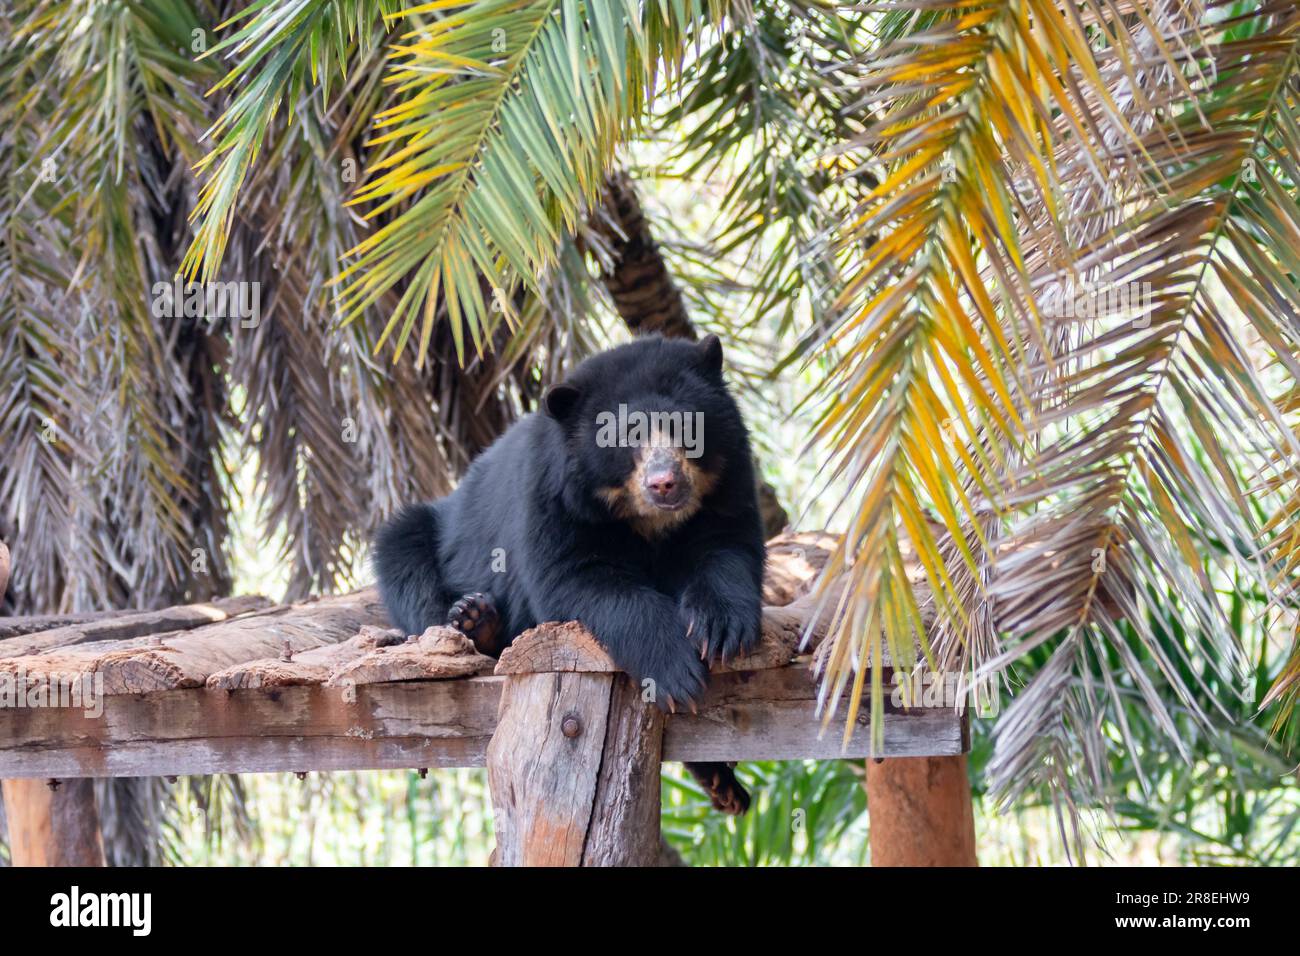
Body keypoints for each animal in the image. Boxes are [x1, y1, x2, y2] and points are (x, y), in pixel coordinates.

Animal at [372, 333, 766, 813]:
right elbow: (579, 579)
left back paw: (724, 786)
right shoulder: (553, 500)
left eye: (683, 426)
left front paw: (721, 630)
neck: (646, 519)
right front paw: (676, 671)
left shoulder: (727, 481)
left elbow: (726, 546)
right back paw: (472, 619)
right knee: (406, 558)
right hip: (428, 535)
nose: (664, 483)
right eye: (626, 437)